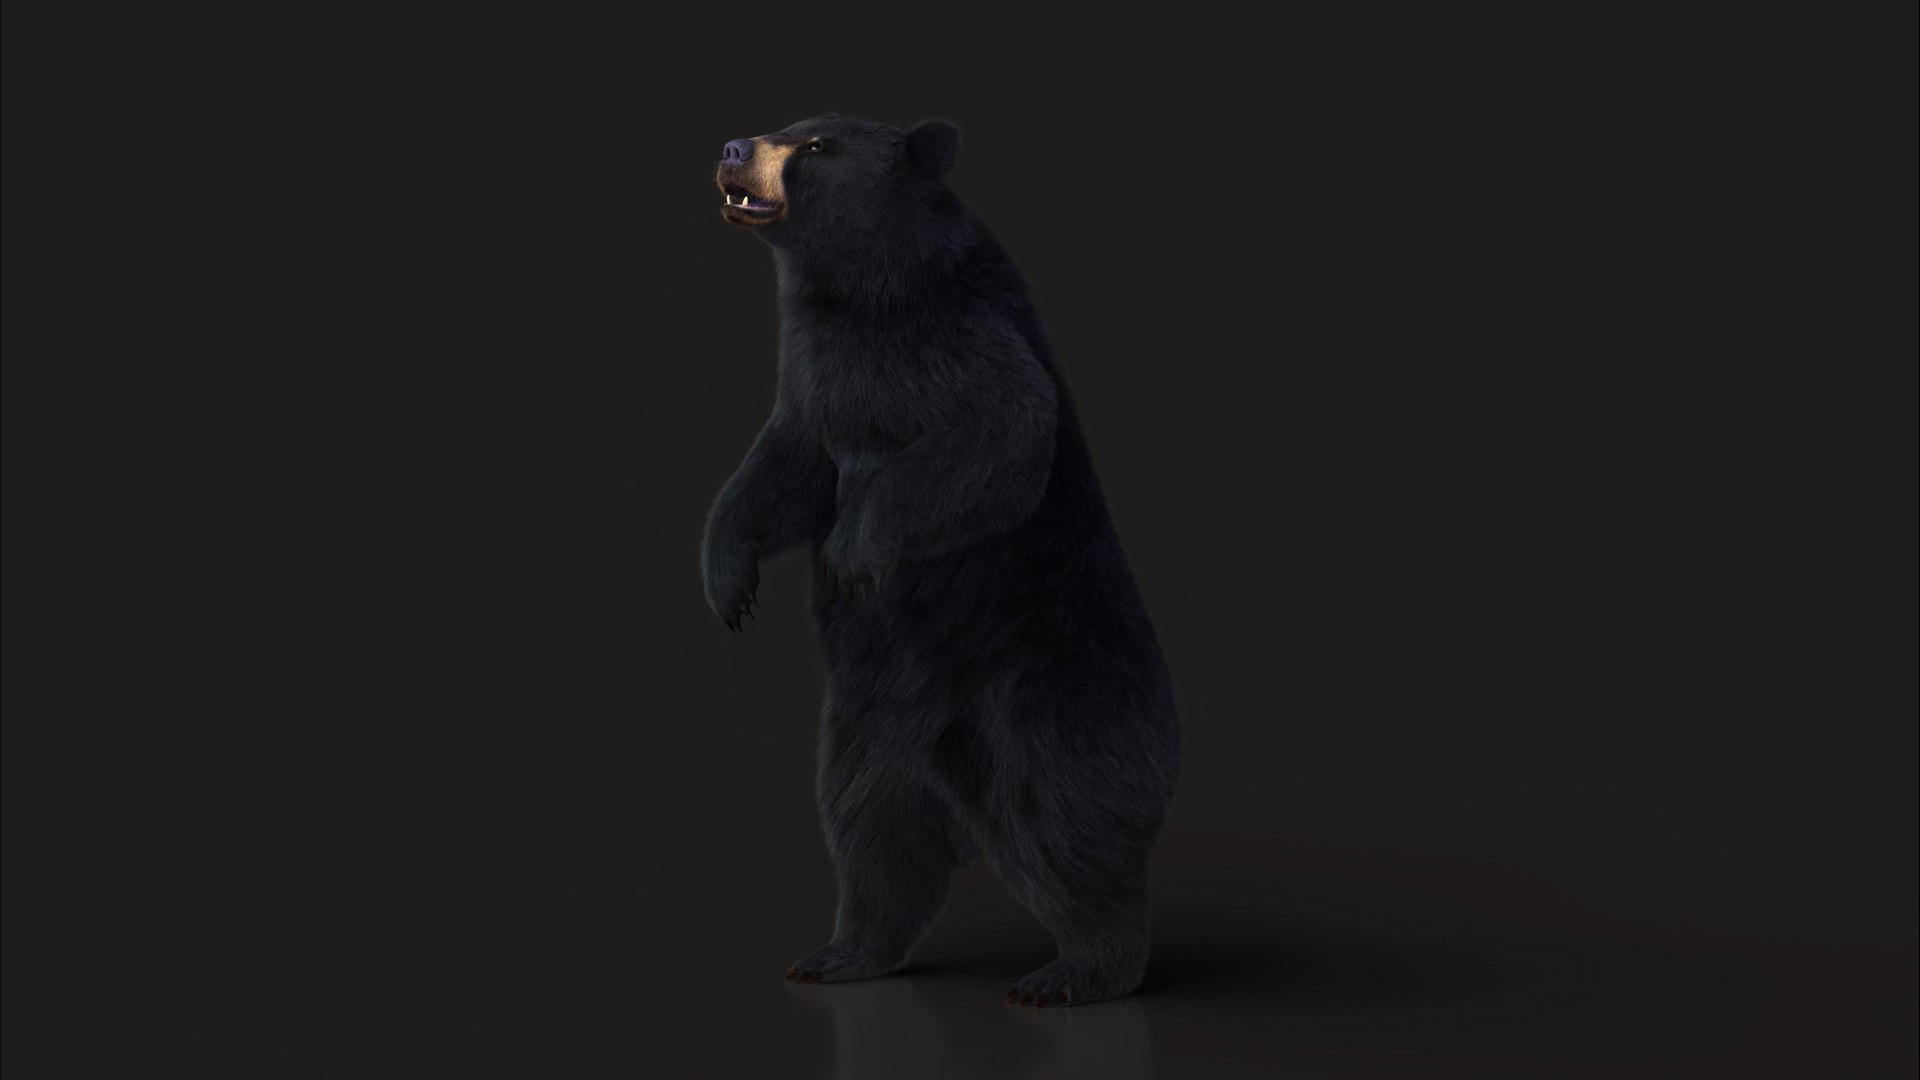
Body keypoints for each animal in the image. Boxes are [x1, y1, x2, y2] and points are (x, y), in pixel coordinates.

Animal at [701, 114, 1180, 1007]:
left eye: (814, 146)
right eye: (783, 126)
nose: (732, 150)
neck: (862, 288)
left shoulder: (948, 336)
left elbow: (1001, 432)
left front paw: (853, 554)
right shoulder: (818, 372)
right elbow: (780, 469)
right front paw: (730, 584)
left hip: (1047, 705)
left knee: (1065, 824)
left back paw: (1073, 971)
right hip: (865, 736)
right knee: (871, 832)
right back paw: (842, 954)